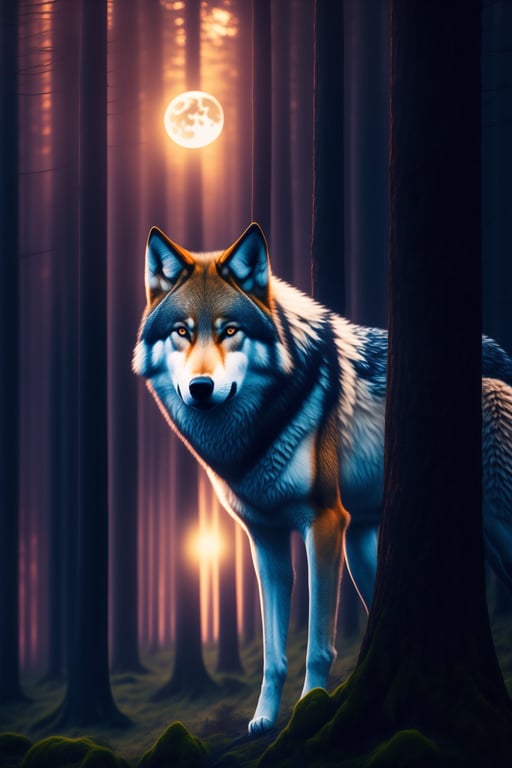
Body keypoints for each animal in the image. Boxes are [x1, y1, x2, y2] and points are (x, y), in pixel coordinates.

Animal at [133, 222, 512, 734]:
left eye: (230, 331)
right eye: (181, 332)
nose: (201, 388)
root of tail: (500, 353)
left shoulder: (326, 522)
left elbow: (317, 643)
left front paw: (309, 707)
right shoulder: (265, 540)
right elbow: (274, 655)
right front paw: (264, 720)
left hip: (487, 529)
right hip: (368, 551)